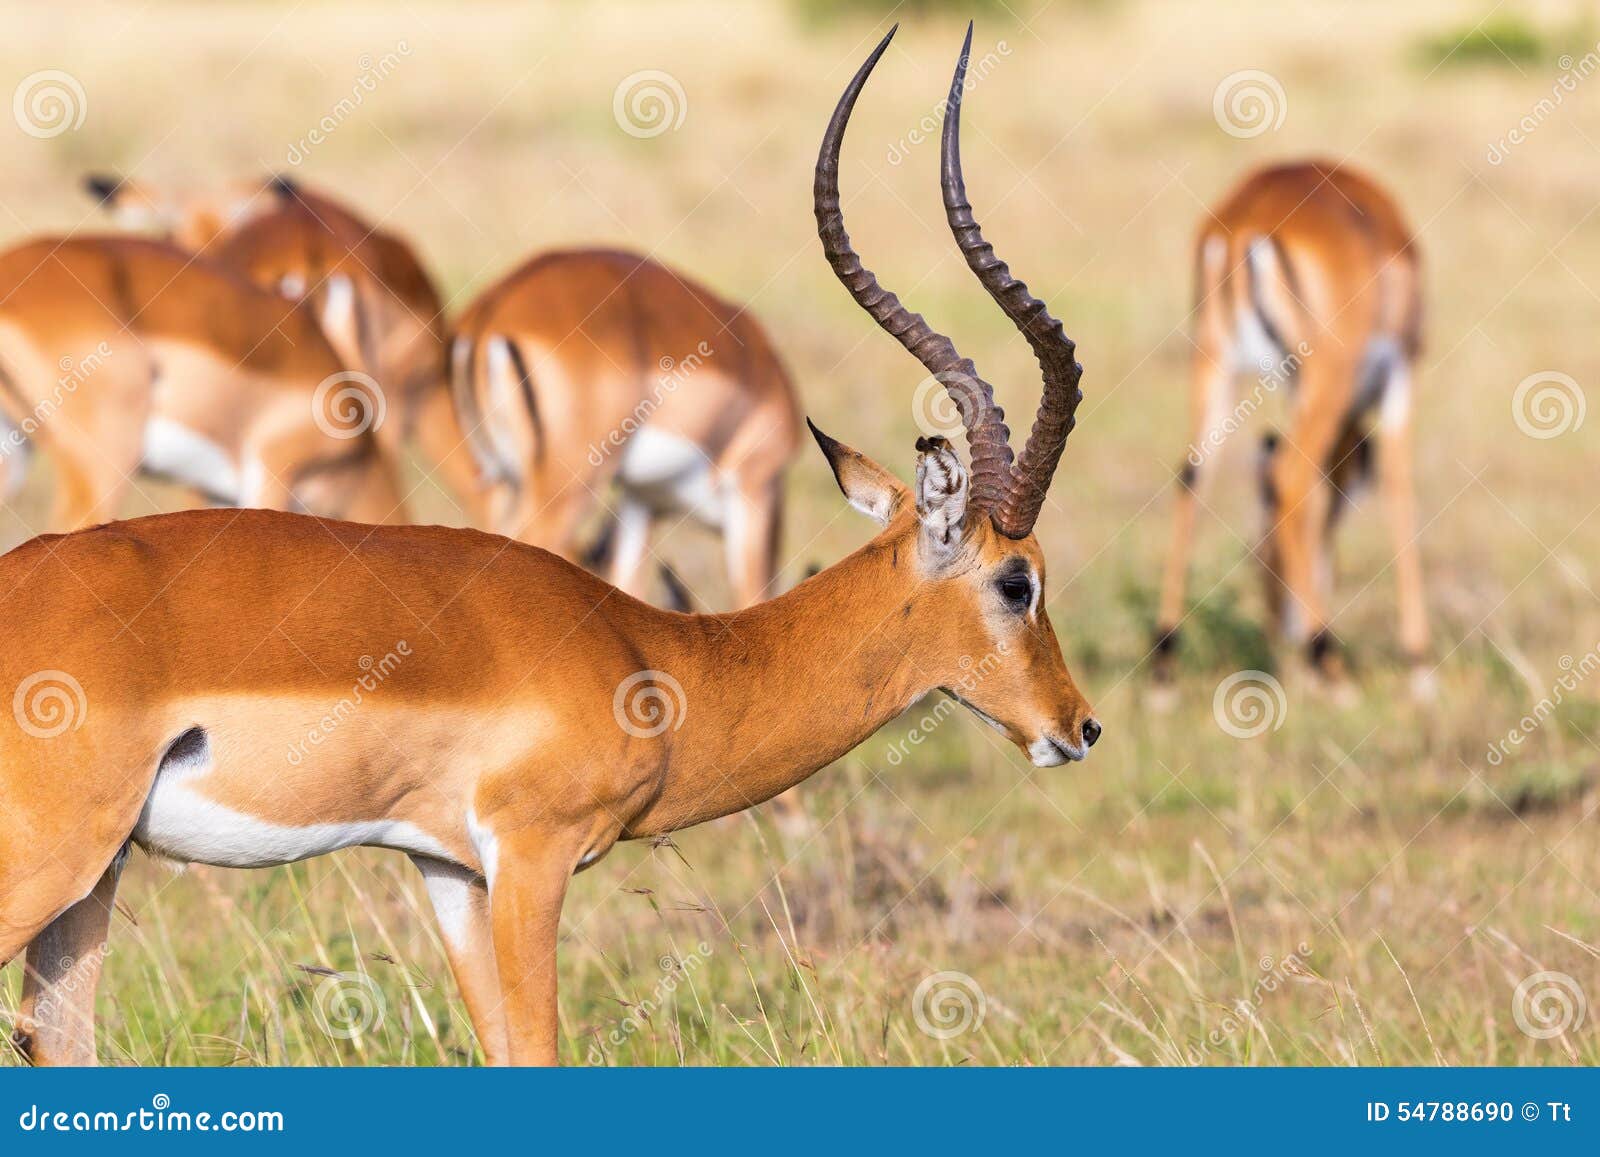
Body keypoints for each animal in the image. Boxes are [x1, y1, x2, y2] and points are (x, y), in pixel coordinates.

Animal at [1151, 161, 1428, 694]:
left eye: (1261, 548)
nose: (1280, 623)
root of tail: (1245, 225)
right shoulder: (1400, 379)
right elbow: (1400, 491)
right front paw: (1420, 668)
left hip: (1214, 365)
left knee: (1193, 476)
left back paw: (1164, 666)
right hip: (1327, 377)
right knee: (1291, 477)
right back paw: (1330, 663)